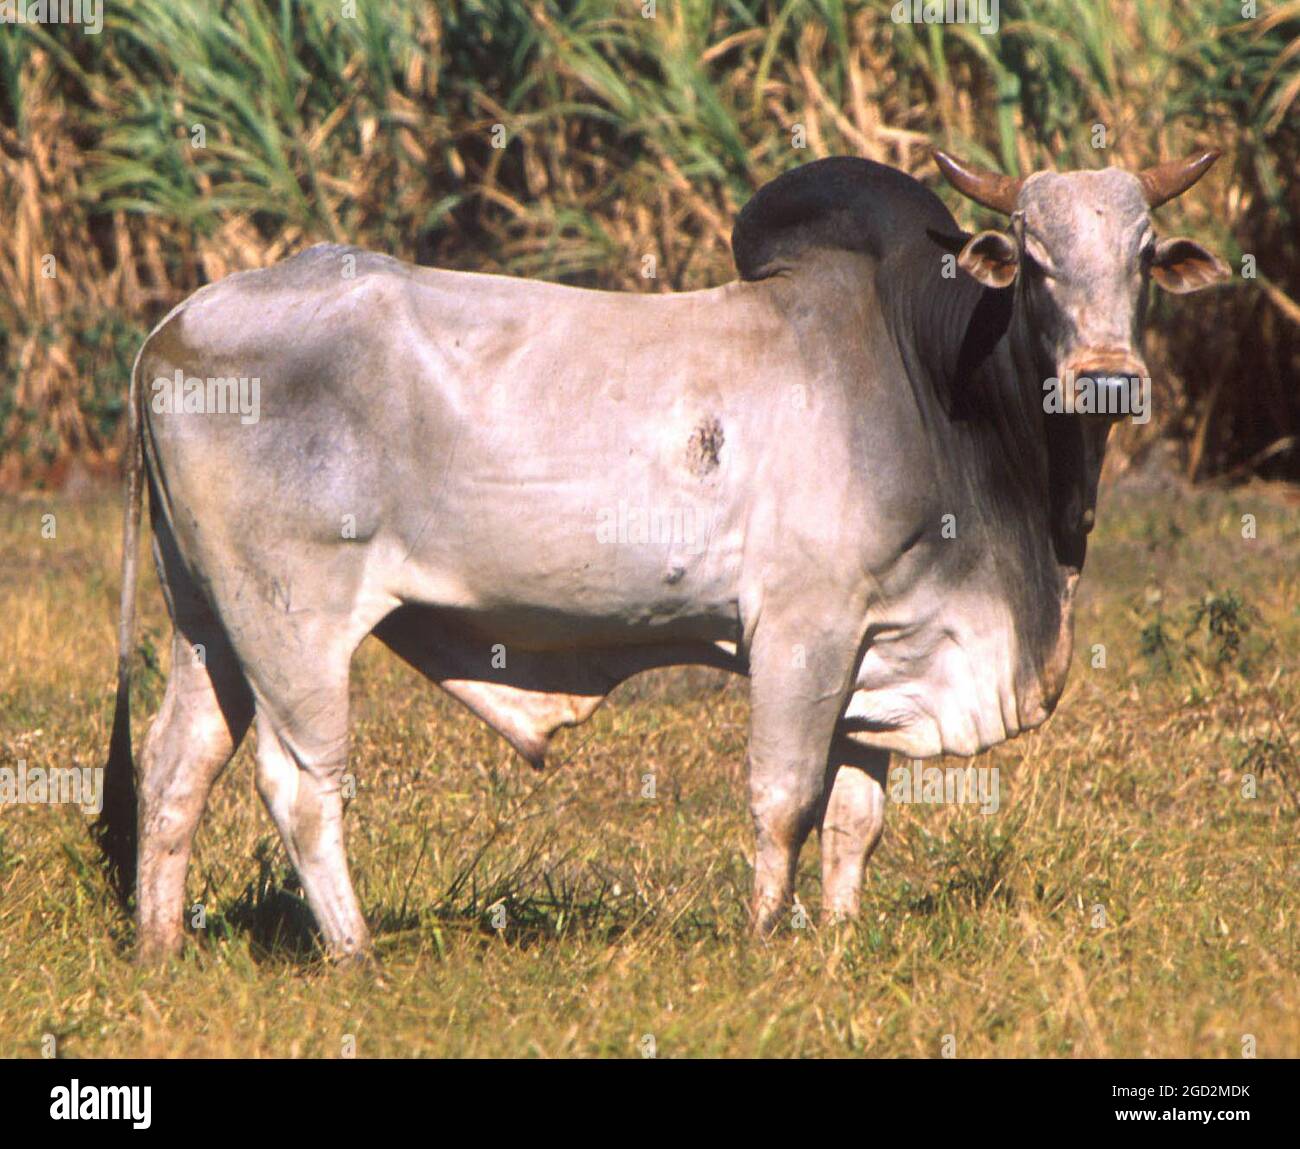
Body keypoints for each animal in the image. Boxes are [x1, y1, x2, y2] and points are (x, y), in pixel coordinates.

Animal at [99, 149, 1229, 963]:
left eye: (1141, 258)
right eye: (1033, 261)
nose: (1107, 376)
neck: (928, 377)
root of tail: (173, 326)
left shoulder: (884, 647)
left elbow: (855, 820)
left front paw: (837, 944)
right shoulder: (803, 629)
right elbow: (784, 800)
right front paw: (764, 945)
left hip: (208, 620)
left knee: (176, 765)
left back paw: (161, 948)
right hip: (292, 618)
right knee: (301, 783)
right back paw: (355, 953)